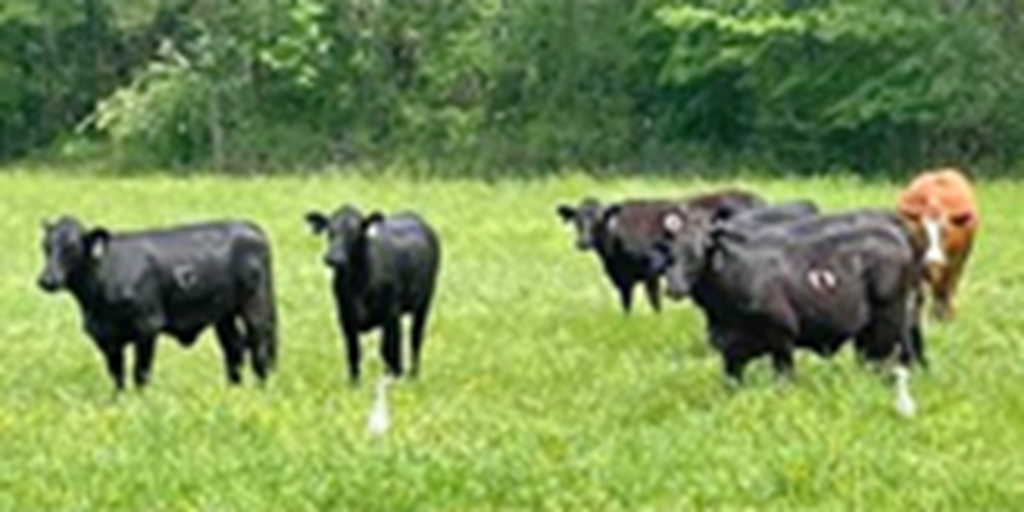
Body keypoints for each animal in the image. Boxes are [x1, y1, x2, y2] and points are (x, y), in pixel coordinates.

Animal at [37, 216, 278, 391]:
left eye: (71, 247)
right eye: (45, 246)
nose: (46, 280)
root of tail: (249, 226)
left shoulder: (147, 326)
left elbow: (140, 372)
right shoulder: (105, 337)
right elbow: (117, 375)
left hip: (256, 306)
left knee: (260, 349)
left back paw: (261, 389)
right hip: (223, 314)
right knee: (234, 350)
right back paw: (233, 390)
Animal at [305, 204, 441, 384]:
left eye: (355, 232)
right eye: (330, 231)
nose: (333, 258)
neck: (358, 284)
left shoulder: (390, 313)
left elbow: (387, 350)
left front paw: (395, 376)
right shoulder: (345, 317)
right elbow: (354, 352)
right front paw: (354, 383)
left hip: (424, 302)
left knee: (415, 338)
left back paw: (412, 375)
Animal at [555, 189, 767, 314]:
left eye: (599, 221)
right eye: (577, 221)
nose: (582, 242)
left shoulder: (652, 270)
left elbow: (654, 302)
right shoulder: (623, 279)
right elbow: (626, 306)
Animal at [654, 207, 924, 396]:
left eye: (702, 250)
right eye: (671, 254)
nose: (674, 287)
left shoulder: (782, 339)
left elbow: (784, 381)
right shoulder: (730, 350)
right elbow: (732, 385)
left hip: (889, 322)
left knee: (893, 359)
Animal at [897, 167, 980, 321]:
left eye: (946, 231)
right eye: (921, 231)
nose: (933, 259)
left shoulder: (954, 262)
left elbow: (945, 285)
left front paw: (946, 314)